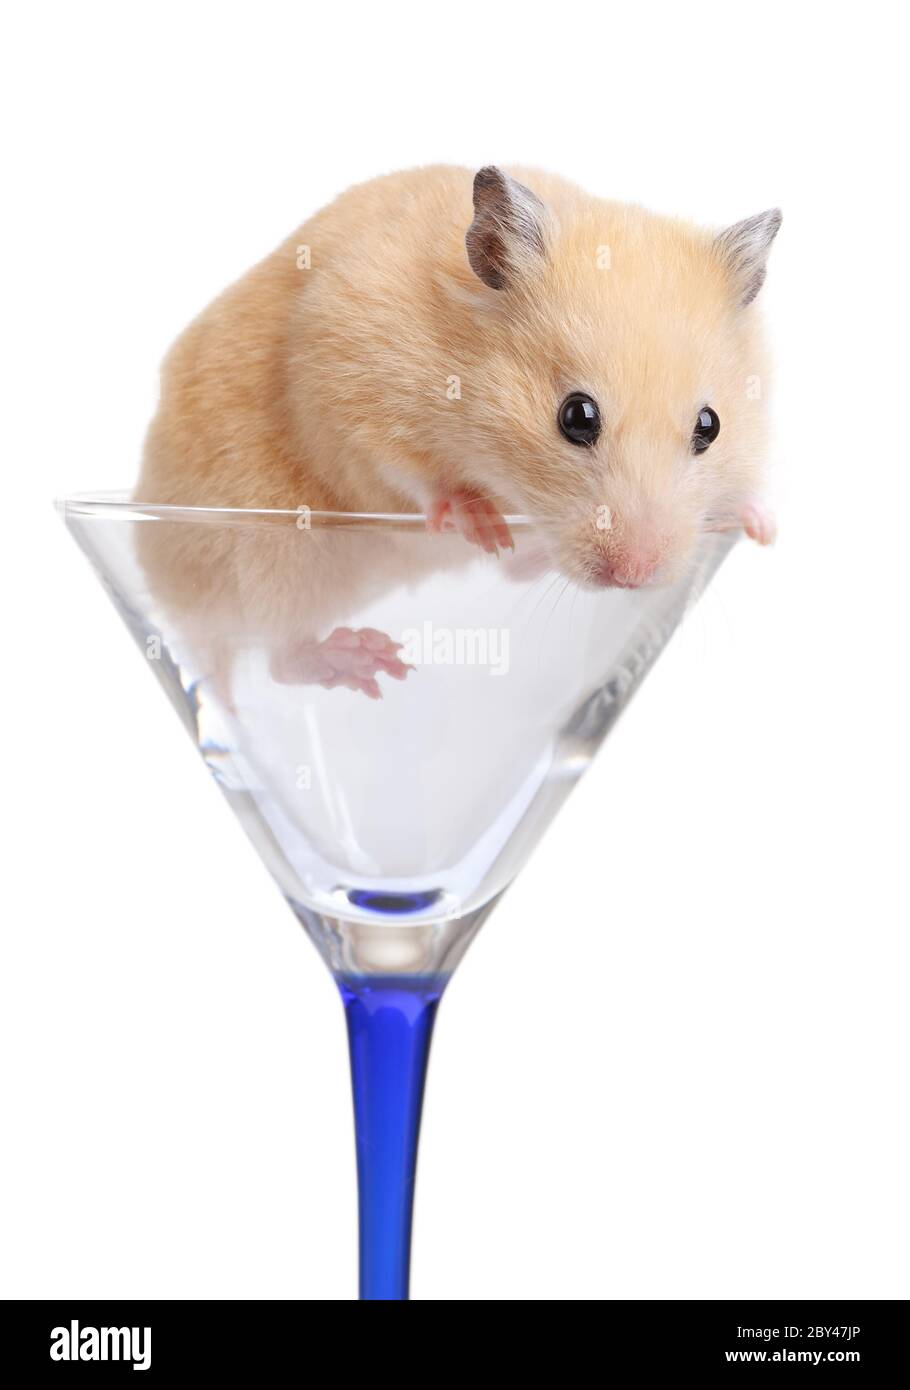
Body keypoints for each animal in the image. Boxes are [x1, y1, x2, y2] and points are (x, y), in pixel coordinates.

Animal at [136, 164, 780, 691]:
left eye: (709, 425)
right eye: (576, 416)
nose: (634, 578)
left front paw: (760, 525)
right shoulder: (347, 390)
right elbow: (409, 472)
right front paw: (482, 523)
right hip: (278, 560)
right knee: (281, 657)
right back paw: (368, 659)